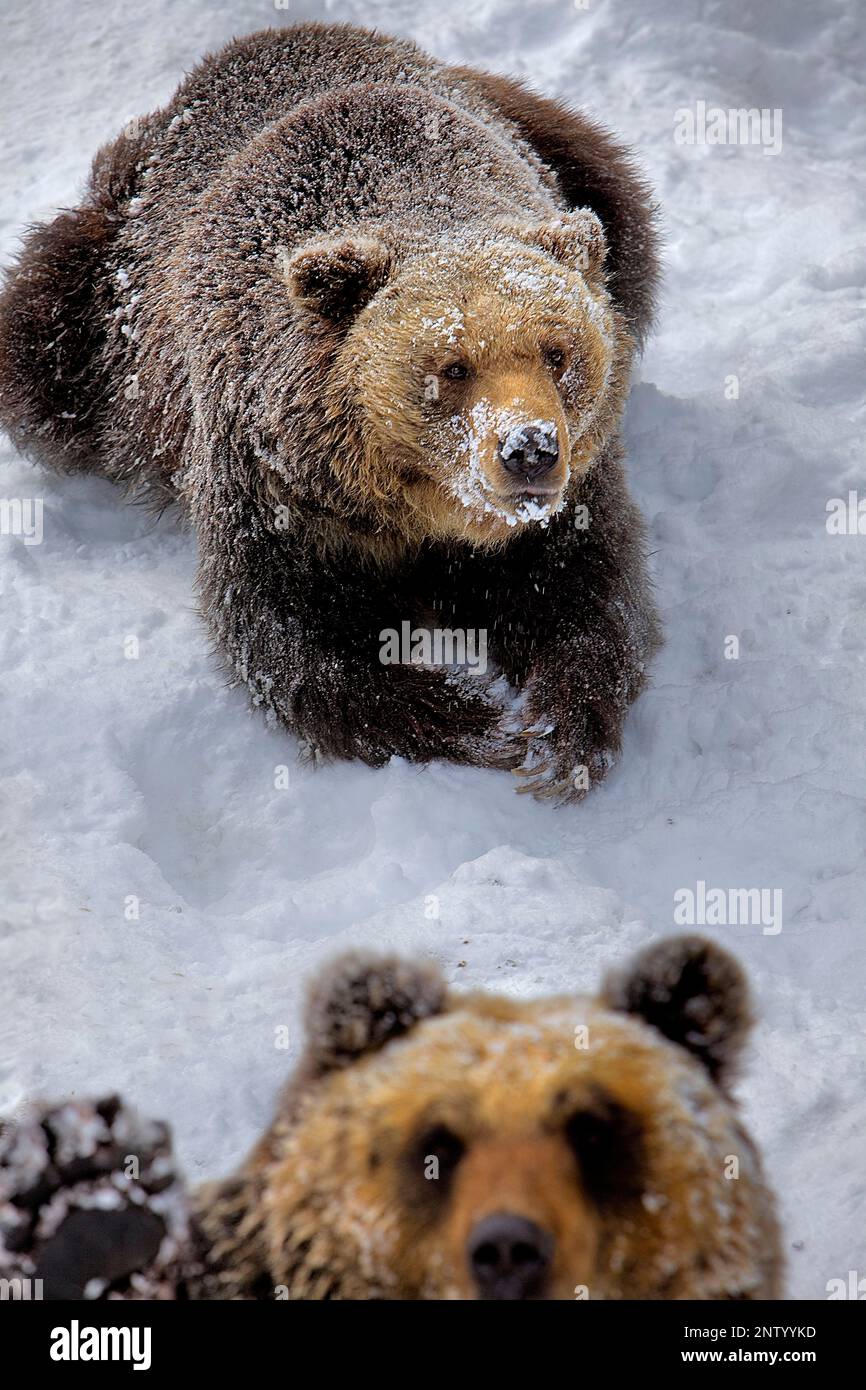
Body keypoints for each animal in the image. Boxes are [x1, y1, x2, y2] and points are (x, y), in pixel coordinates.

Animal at [0, 22, 662, 802]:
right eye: (453, 367)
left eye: (557, 353)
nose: (528, 449)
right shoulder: (276, 472)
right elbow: (289, 625)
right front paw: (470, 720)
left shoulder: (570, 490)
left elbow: (584, 585)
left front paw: (559, 727)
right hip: (106, 310)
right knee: (45, 351)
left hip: (570, 157)